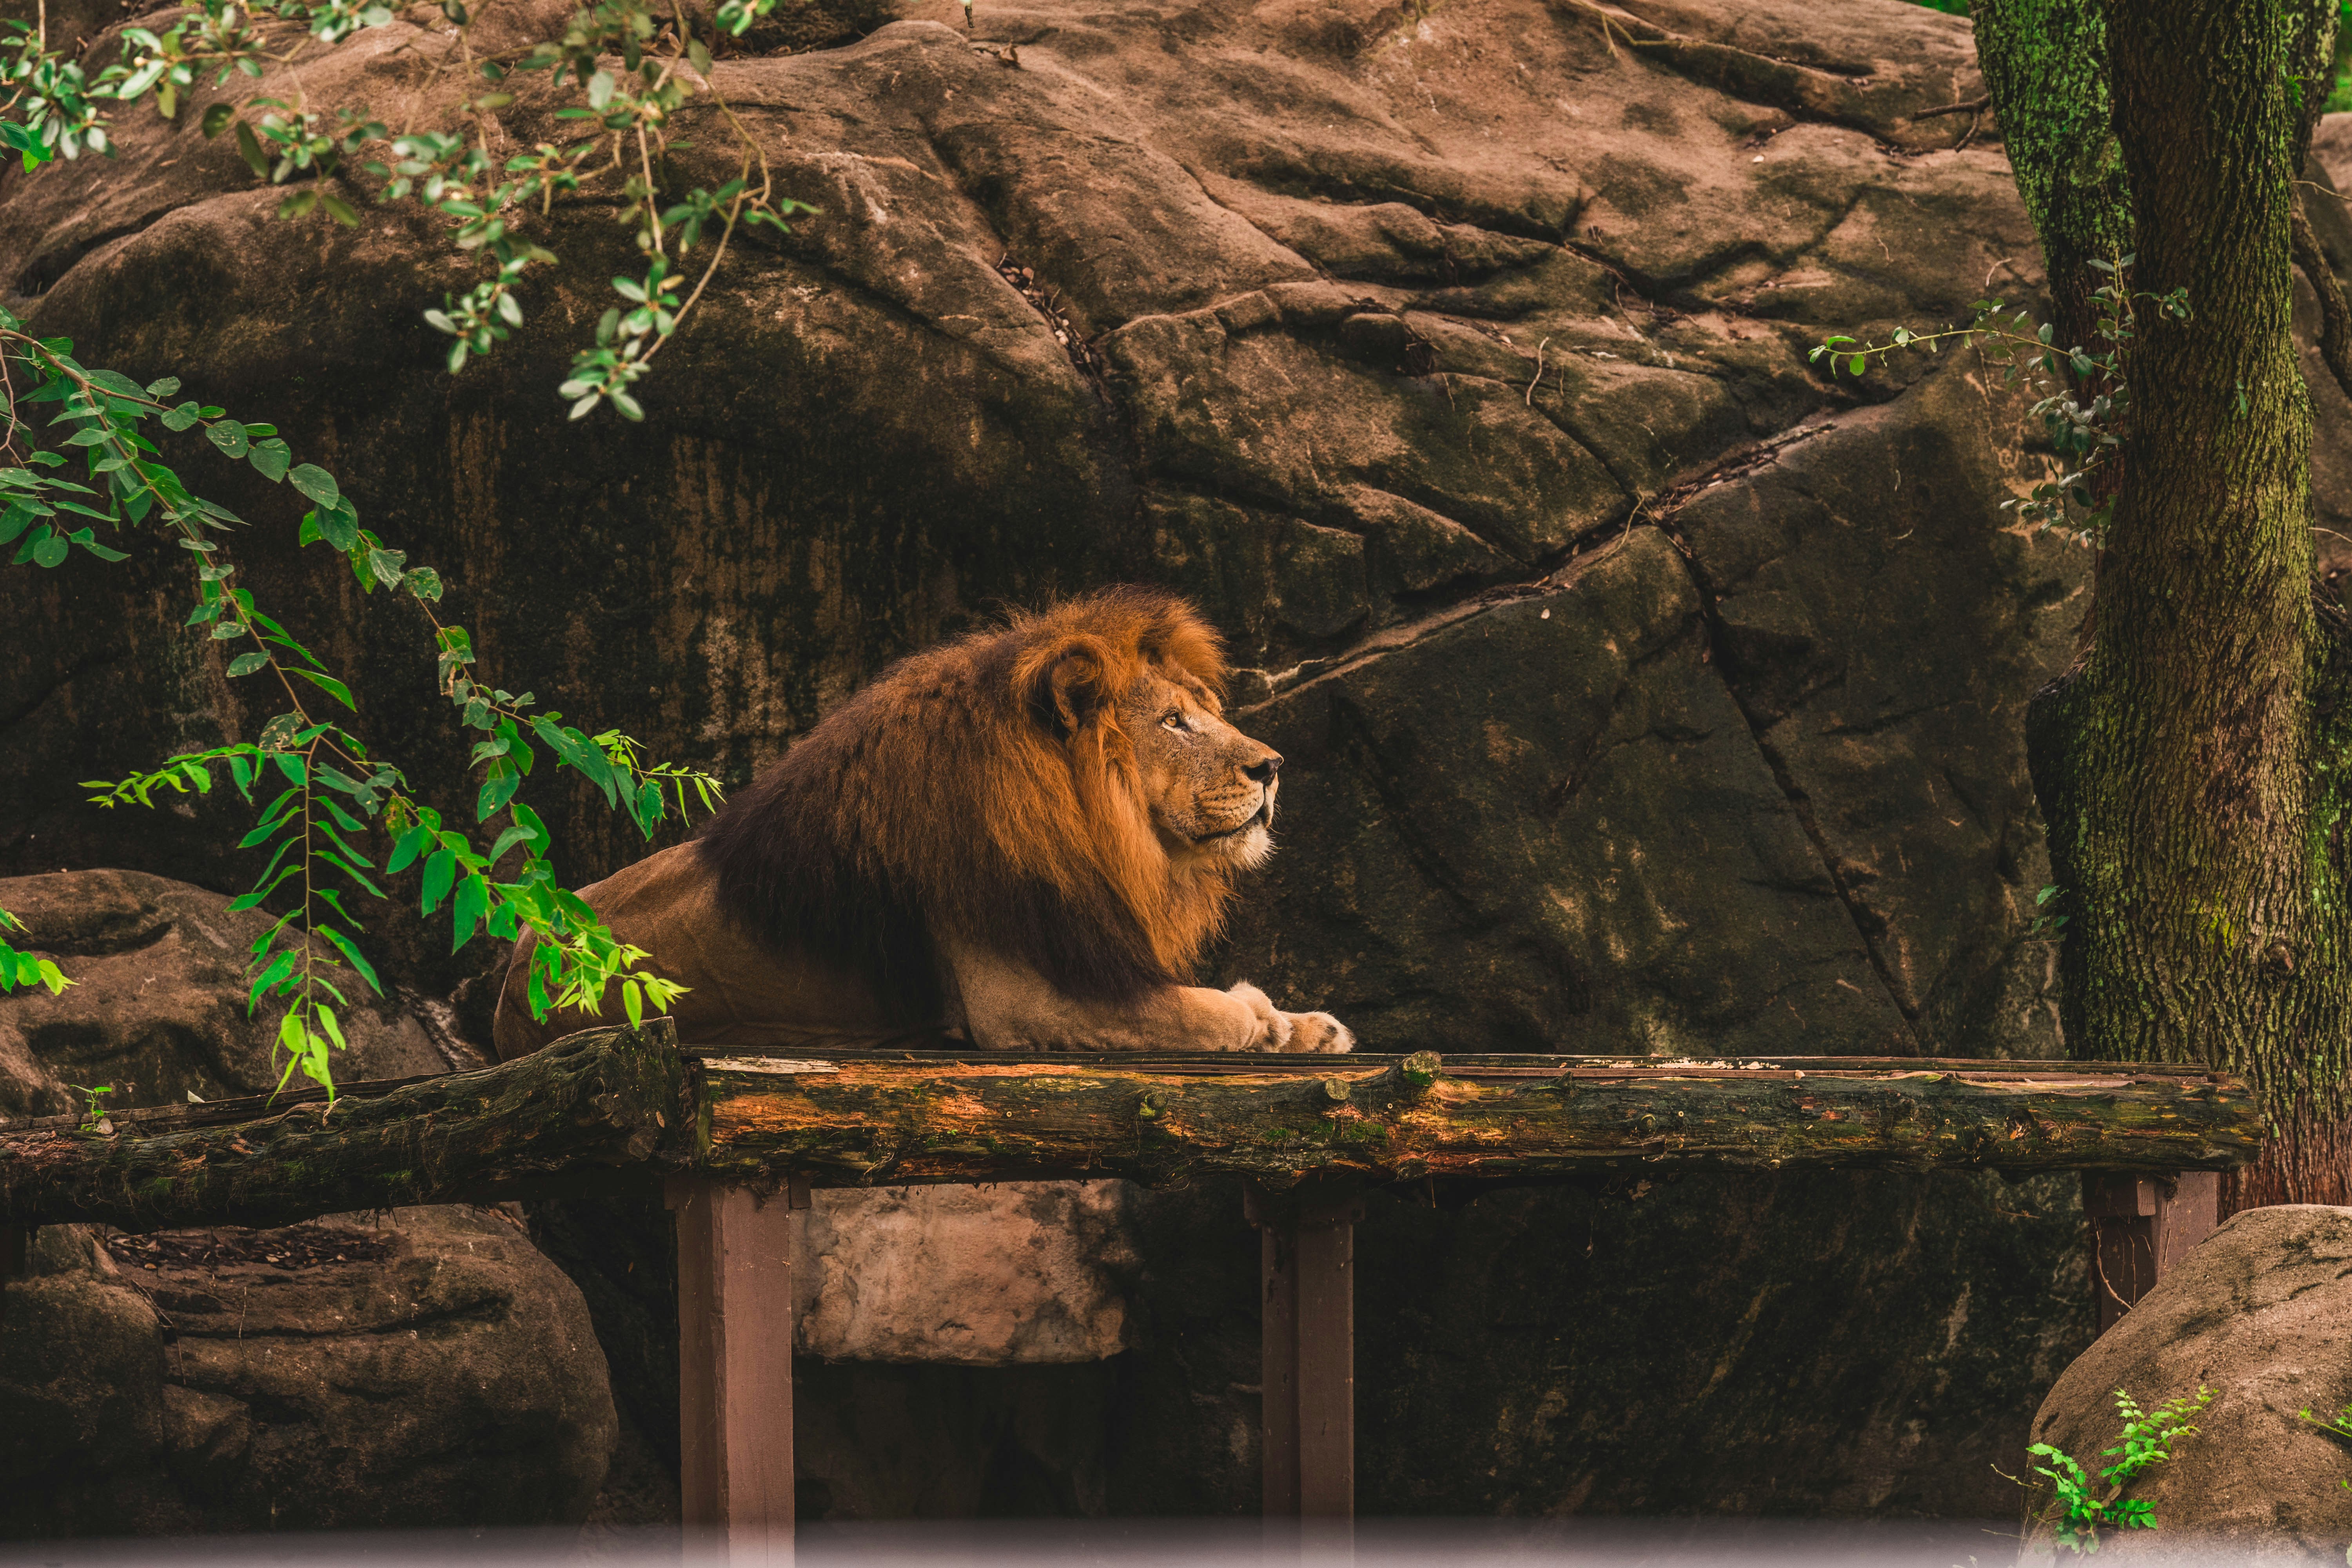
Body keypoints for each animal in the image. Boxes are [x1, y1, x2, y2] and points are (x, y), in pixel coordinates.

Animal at [491, 586, 1352, 1060]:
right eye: (1174, 722)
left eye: (1205, 711)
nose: (1274, 766)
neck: (1107, 838)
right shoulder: (1029, 1002)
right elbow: (1204, 1009)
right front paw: (1259, 1017)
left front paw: (1308, 1026)